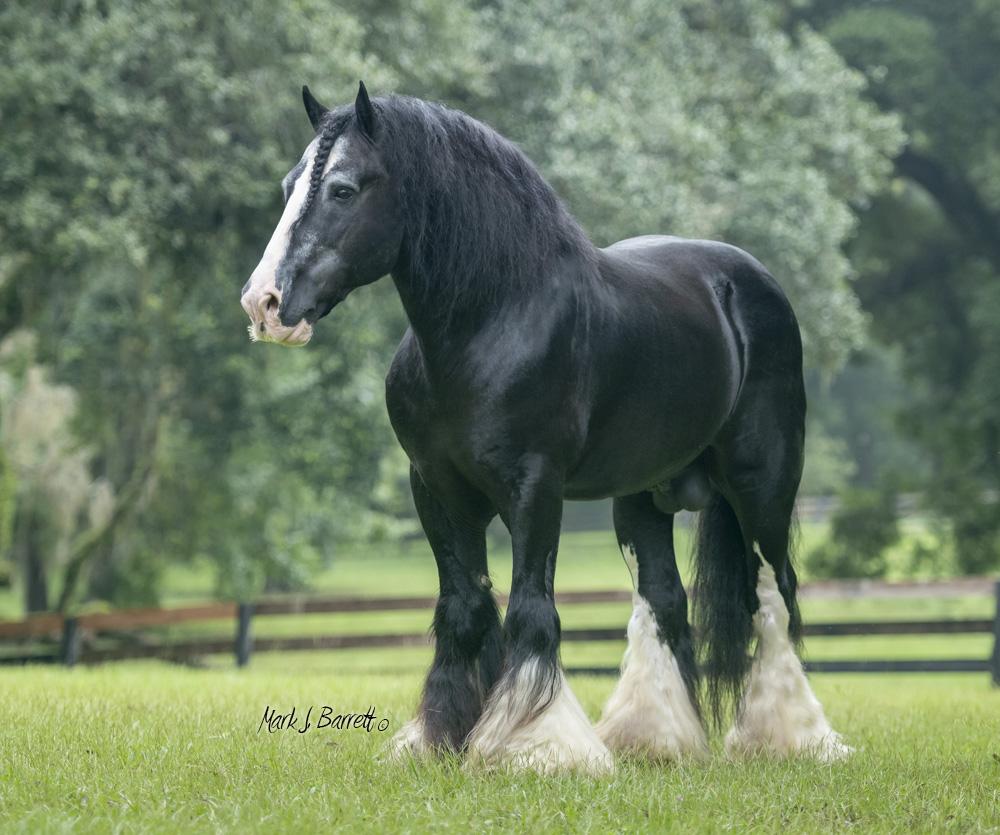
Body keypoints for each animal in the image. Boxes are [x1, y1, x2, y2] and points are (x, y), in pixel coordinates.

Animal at [240, 82, 851, 773]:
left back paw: (790, 736)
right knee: (664, 599)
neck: (493, 319)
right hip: (642, 498)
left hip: (762, 483)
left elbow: (531, 608)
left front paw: (537, 745)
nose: (264, 304)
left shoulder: (534, 486)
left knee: (775, 595)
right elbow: (465, 607)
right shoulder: (436, 489)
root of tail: (747, 279)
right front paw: (442, 737)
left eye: (343, 189)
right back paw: (656, 738)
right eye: (289, 184)